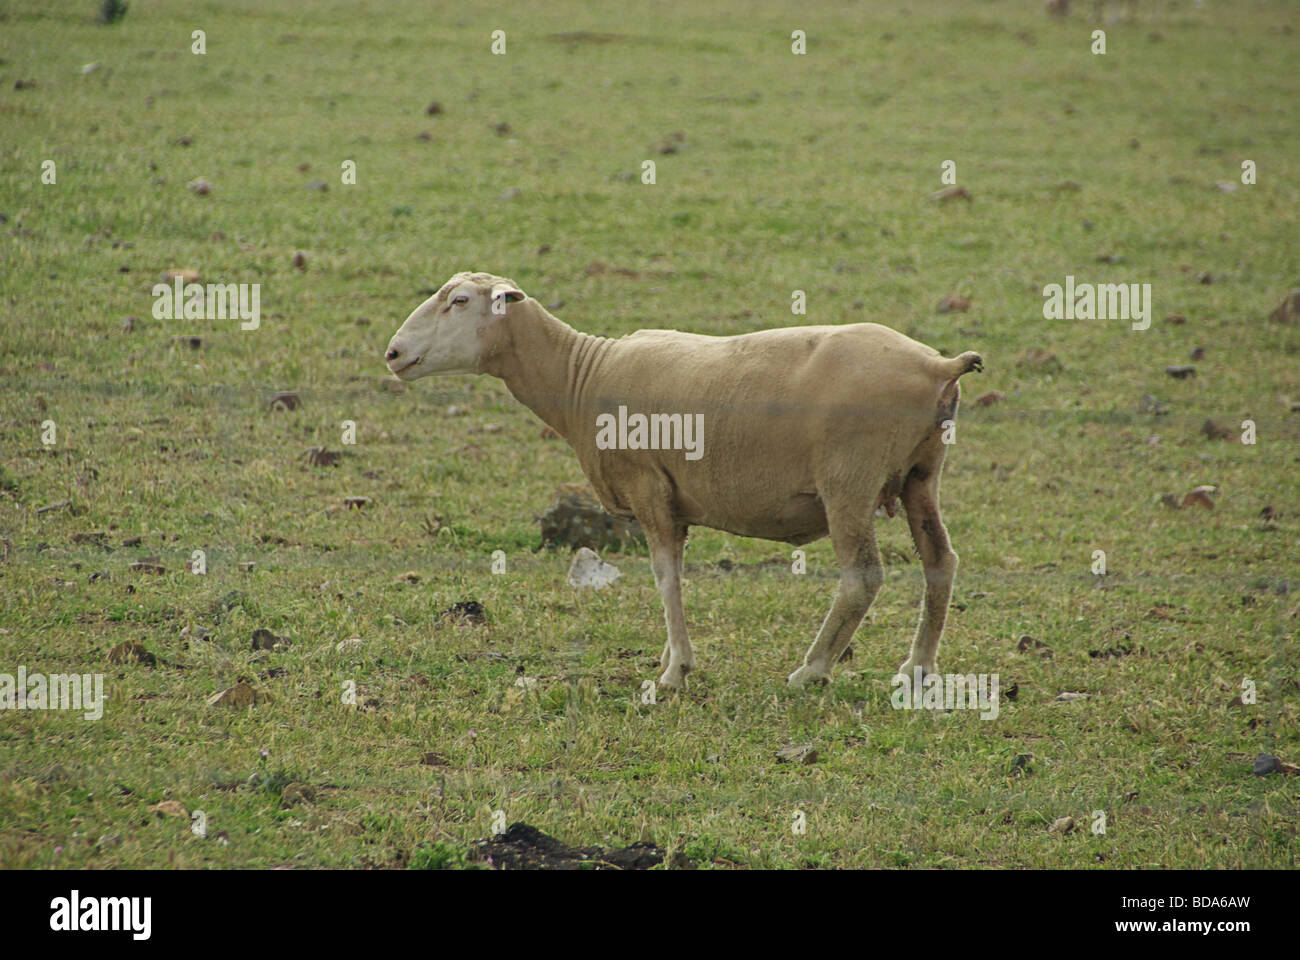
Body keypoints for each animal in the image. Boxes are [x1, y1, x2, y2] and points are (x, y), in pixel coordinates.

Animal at [385, 272, 982, 690]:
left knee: (862, 576)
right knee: (940, 561)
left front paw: (676, 672)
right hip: (921, 474)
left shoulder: (649, 486)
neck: (581, 374)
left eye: (461, 301)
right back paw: (918, 667)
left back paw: (811, 670)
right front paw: (671, 659)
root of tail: (938, 366)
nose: (392, 353)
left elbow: (665, 578)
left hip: (848, 481)